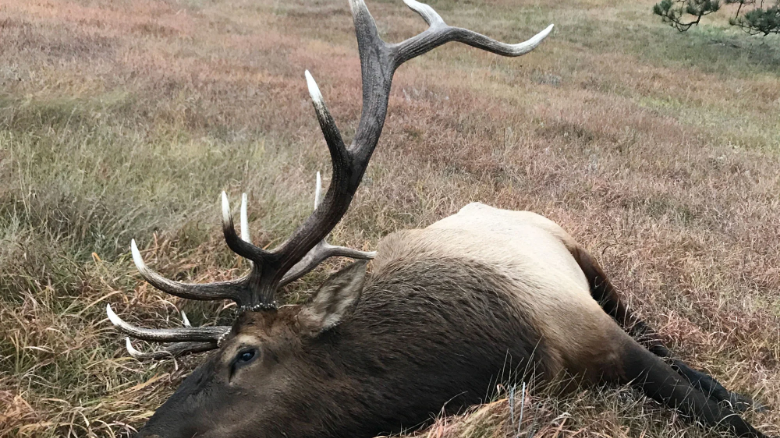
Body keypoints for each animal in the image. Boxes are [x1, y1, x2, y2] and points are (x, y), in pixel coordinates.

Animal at [105, 1, 771, 437]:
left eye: (245, 354)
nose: (150, 434)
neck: (500, 351)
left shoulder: (596, 331)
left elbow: (717, 413)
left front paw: (732, 401)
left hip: (585, 256)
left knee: (649, 325)